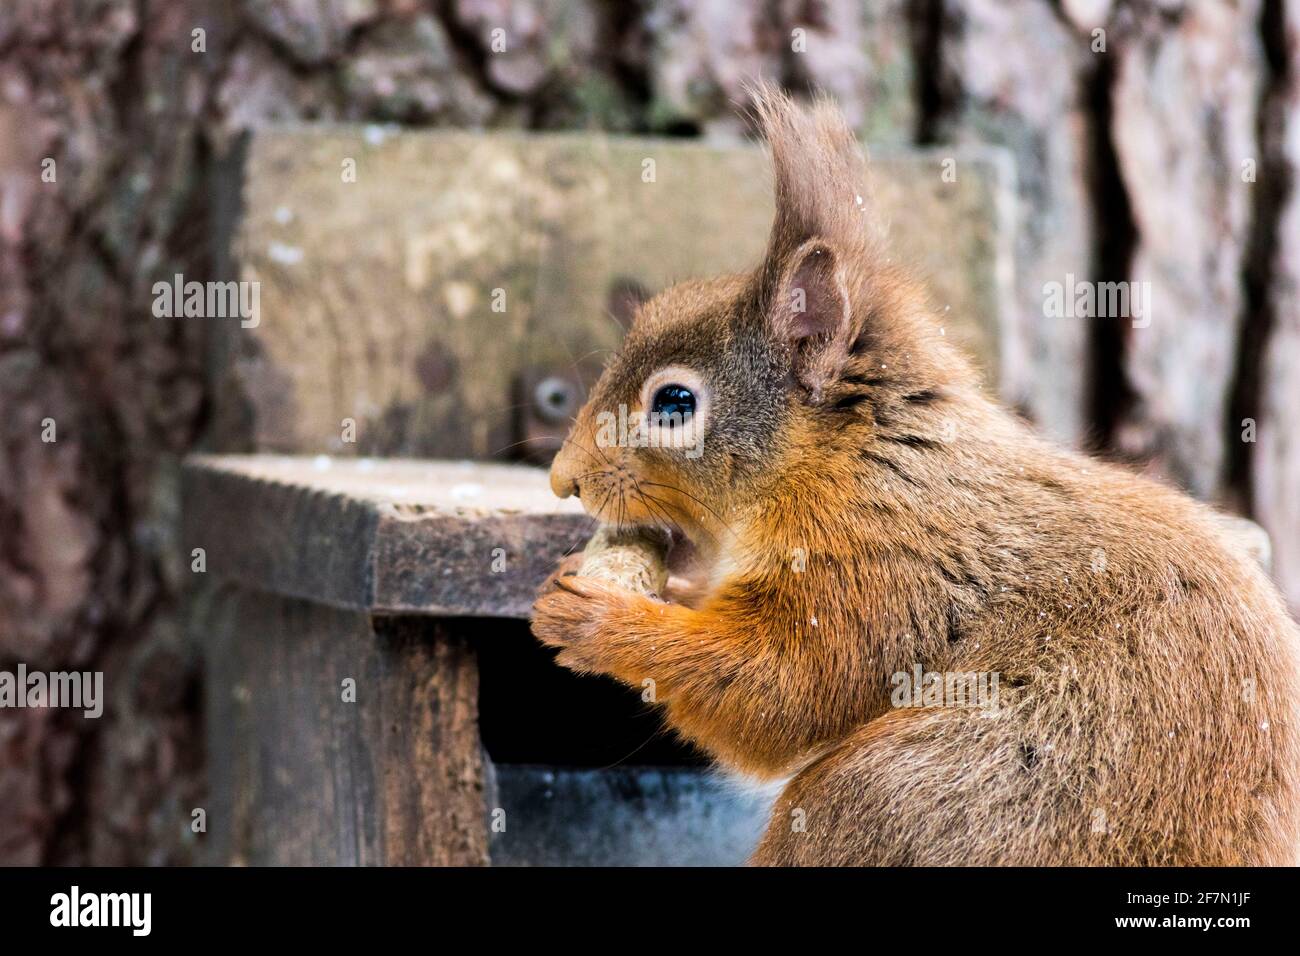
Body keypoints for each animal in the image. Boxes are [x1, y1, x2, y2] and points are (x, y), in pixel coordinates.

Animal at [530, 84, 1300, 866]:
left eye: (675, 404)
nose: (565, 480)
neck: (850, 459)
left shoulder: (878, 566)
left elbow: (780, 689)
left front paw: (598, 619)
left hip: (907, 795)